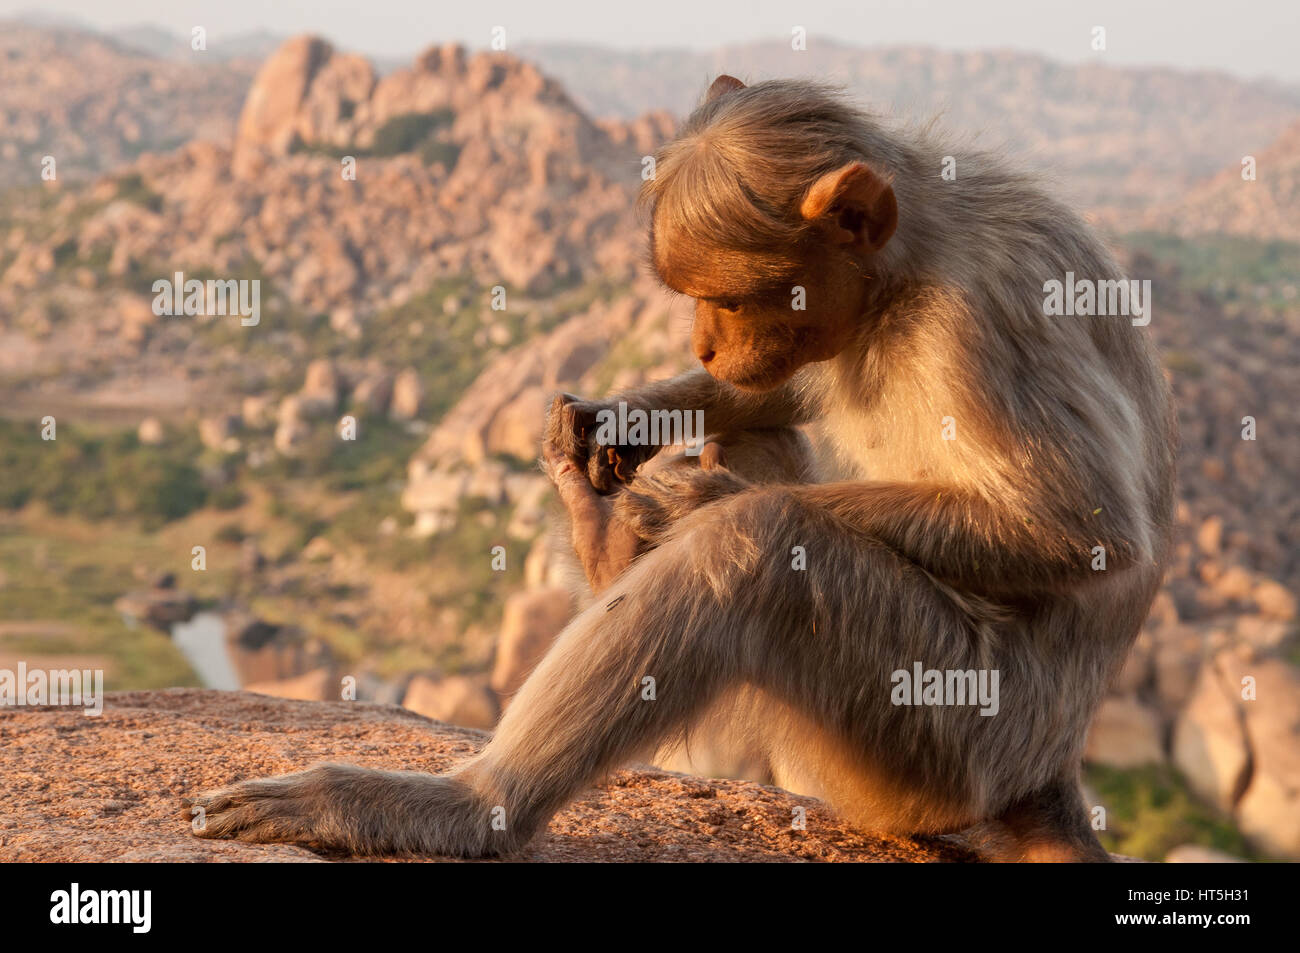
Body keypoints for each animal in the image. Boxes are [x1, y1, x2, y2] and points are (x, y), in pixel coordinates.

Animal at [183, 75, 1175, 862]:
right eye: (699, 301)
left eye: (727, 299)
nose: (703, 341)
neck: (906, 273)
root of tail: (1048, 772)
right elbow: (778, 393)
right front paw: (618, 423)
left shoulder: (977, 322)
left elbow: (1077, 530)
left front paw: (694, 493)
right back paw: (605, 544)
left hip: (946, 739)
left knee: (761, 546)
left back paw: (470, 806)